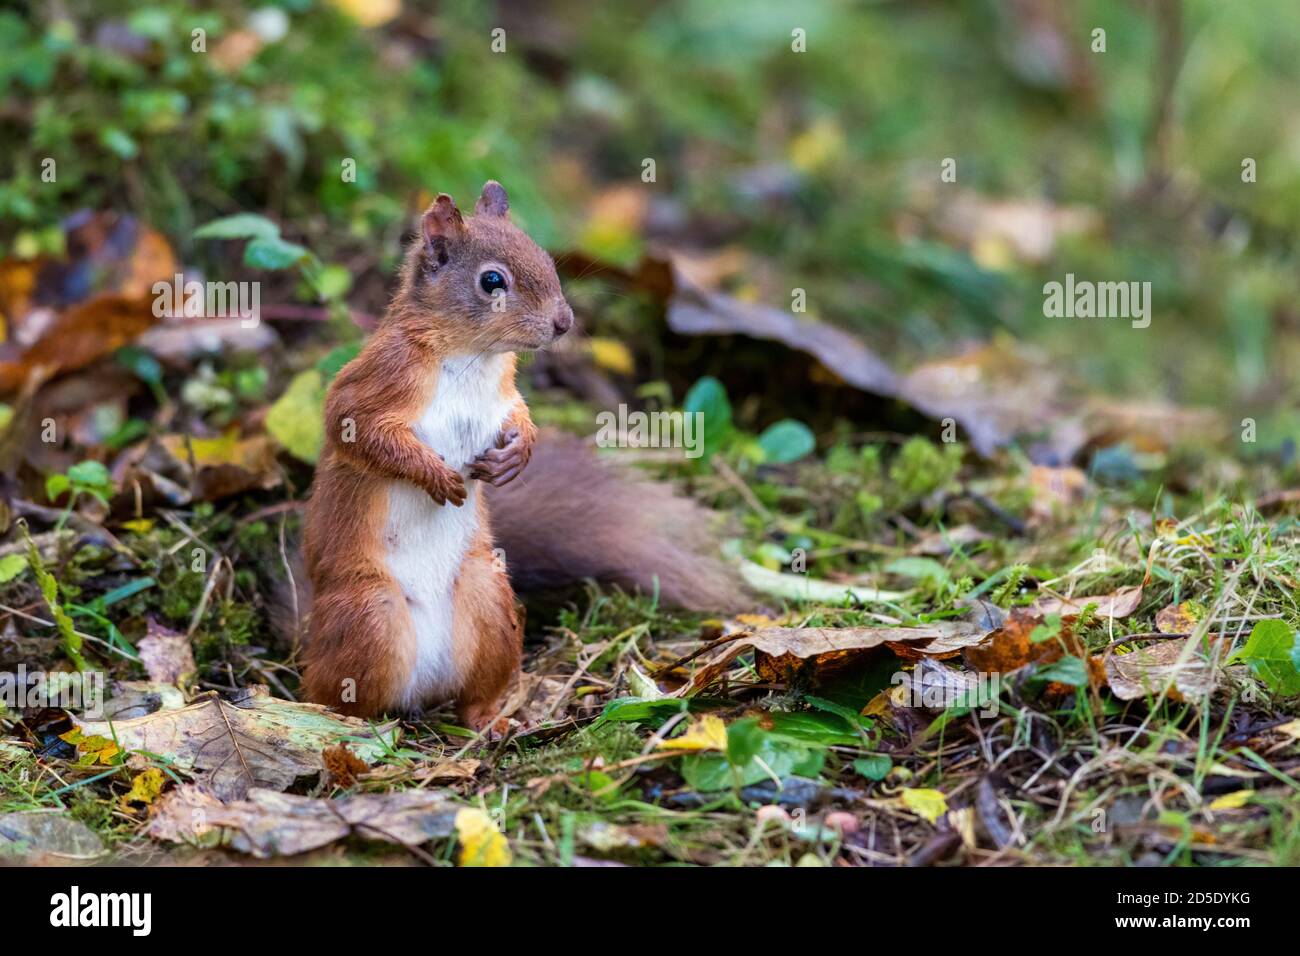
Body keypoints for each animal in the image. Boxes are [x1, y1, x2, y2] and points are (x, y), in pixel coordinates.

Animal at [299, 181, 743, 727]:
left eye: (547, 260)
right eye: (492, 281)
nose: (564, 322)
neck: (471, 356)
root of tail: (422, 695)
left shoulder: (504, 394)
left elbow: (521, 417)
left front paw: (516, 457)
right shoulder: (375, 382)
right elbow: (358, 430)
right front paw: (434, 475)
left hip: (488, 597)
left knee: (473, 692)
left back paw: (490, 720)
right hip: (370, 610)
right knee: (333, 693)